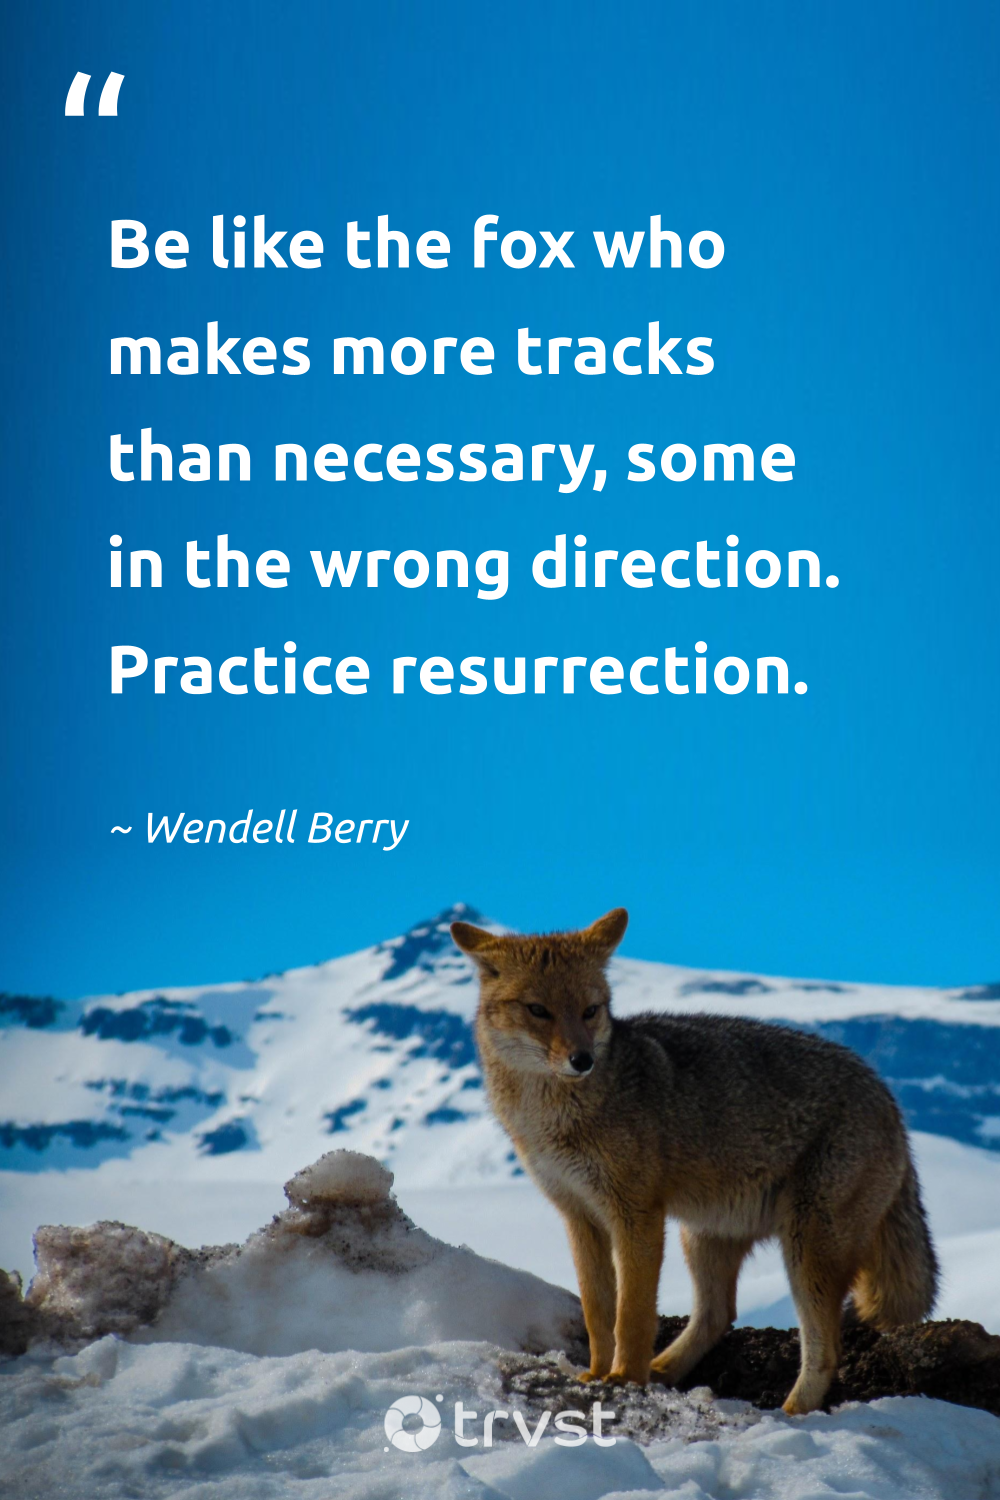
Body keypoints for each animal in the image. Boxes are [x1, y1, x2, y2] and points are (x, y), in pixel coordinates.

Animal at [451, 908, 938, 1415]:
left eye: (590, 1010)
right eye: (538, 1010)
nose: (581, 1060)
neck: (555, 1116)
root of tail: (888, 1098)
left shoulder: (636, 1215)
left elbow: (632, 1314)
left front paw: (625, 1378)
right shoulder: (579, 1216)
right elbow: (598, 1312)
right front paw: (597, 1374)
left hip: (805, 1252)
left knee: (825, 1349)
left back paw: (790, 1412)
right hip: (704, 1238)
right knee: (719, 1315)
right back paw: (664, 1369)